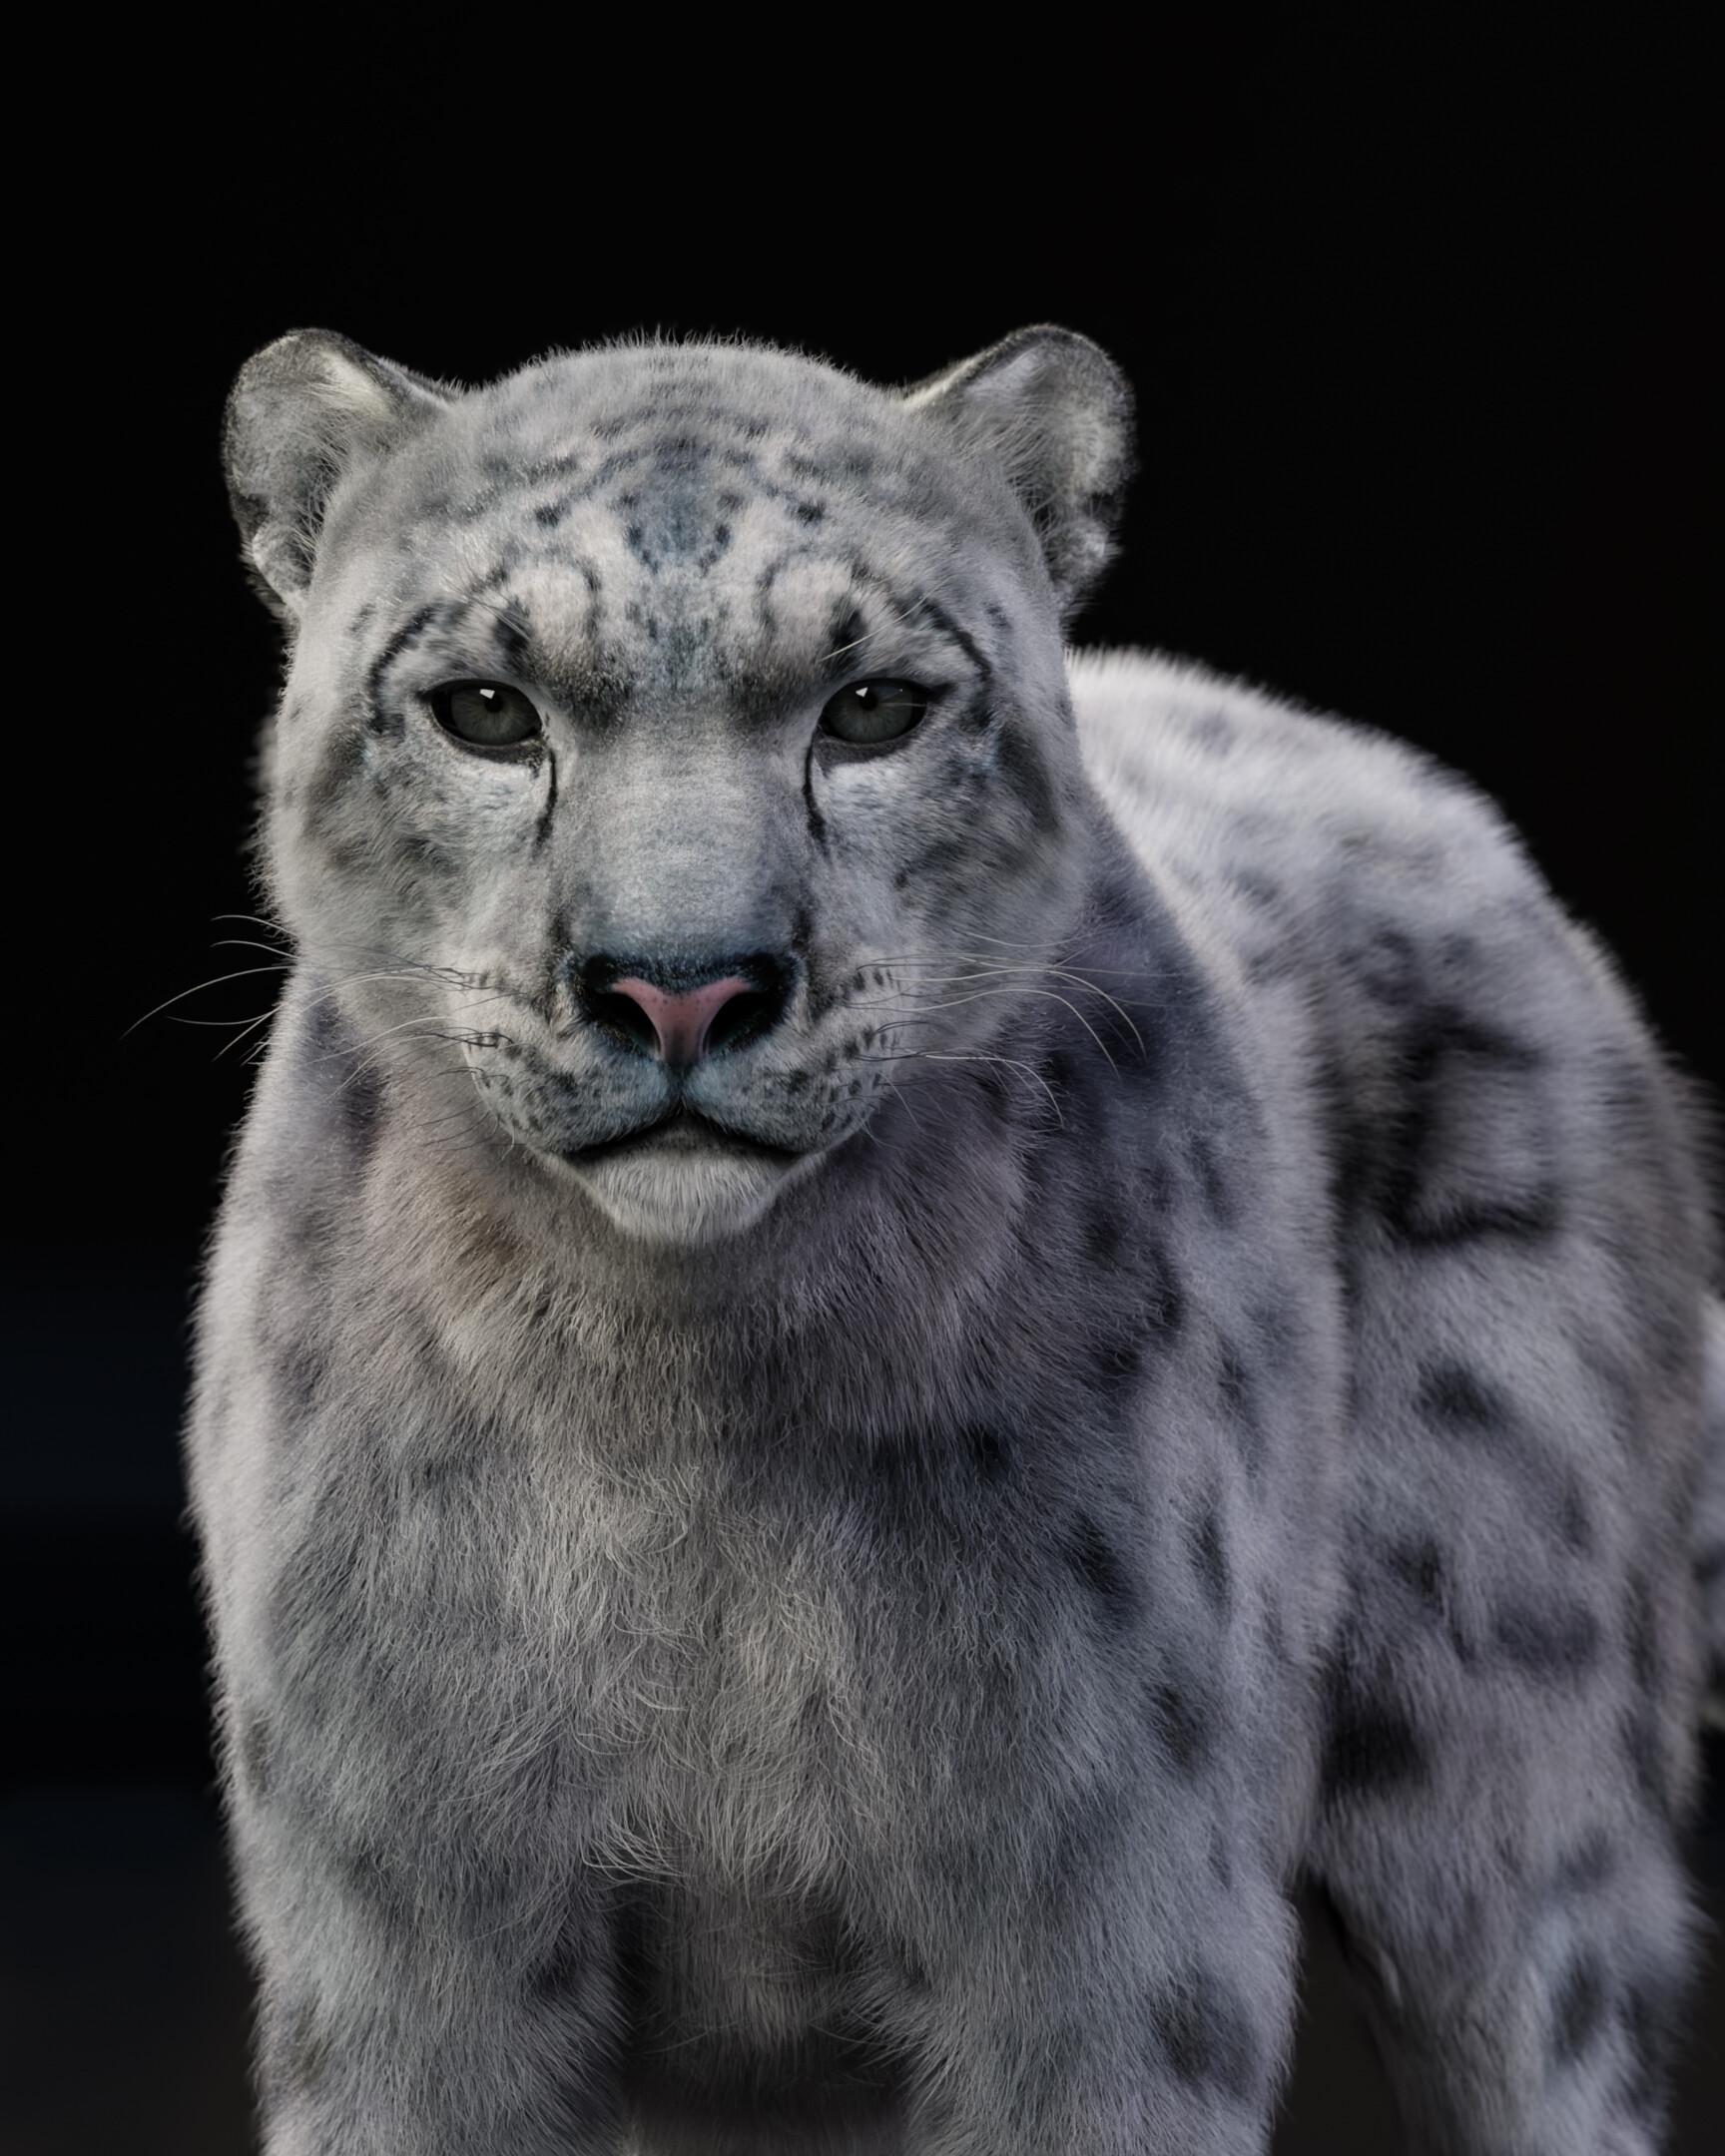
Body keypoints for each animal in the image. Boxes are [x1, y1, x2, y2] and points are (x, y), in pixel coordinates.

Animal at [189, 321, 1723, 2154]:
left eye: (873, 706)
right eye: (487, 707)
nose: (681, 985)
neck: (682, 1392)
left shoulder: (1108, 1903)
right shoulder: (407, 1905)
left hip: (1515, 1781)